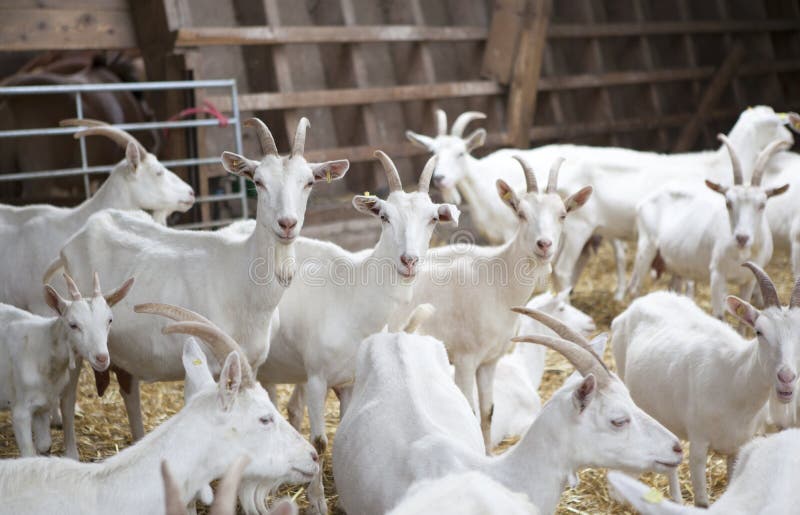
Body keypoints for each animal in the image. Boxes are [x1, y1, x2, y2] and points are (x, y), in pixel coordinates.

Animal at [0, 272, 132, 457]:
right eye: (73, 325)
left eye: (110, 320)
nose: (102, 358)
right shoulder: (20, 411)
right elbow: (28, 452)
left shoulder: (43, 404)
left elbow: (44, 444)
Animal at [46, 117, 349, 459]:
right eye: (258, 181)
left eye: (309, 182)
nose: (287, 224)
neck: (243, 283)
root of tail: (81, 232)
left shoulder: (254, 363)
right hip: (77, 334)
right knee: (68, 394)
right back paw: (71, 451)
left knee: (128, 387)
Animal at [392, 155, 592, 450]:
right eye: (521, 214)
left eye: (563, 214)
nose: (544, 245)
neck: (497, 282)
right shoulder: (464, 358)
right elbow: (470, 410)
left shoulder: (489, 361)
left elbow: (488, 412)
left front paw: (488, 454)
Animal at [611, 264, 800, 506]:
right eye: (759, 332)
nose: (786, 378)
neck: (734, 380)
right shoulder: (699, 444)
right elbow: (701, 502)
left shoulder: (737, 447)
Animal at [626, 135, 789, 318]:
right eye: (728, 203)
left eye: (762, 204)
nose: (742, 238)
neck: (740, 254)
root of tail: (645, 201)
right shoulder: (717, 275)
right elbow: (719, 316)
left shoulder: (749, 280)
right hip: (646, 247)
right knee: (634, 288)